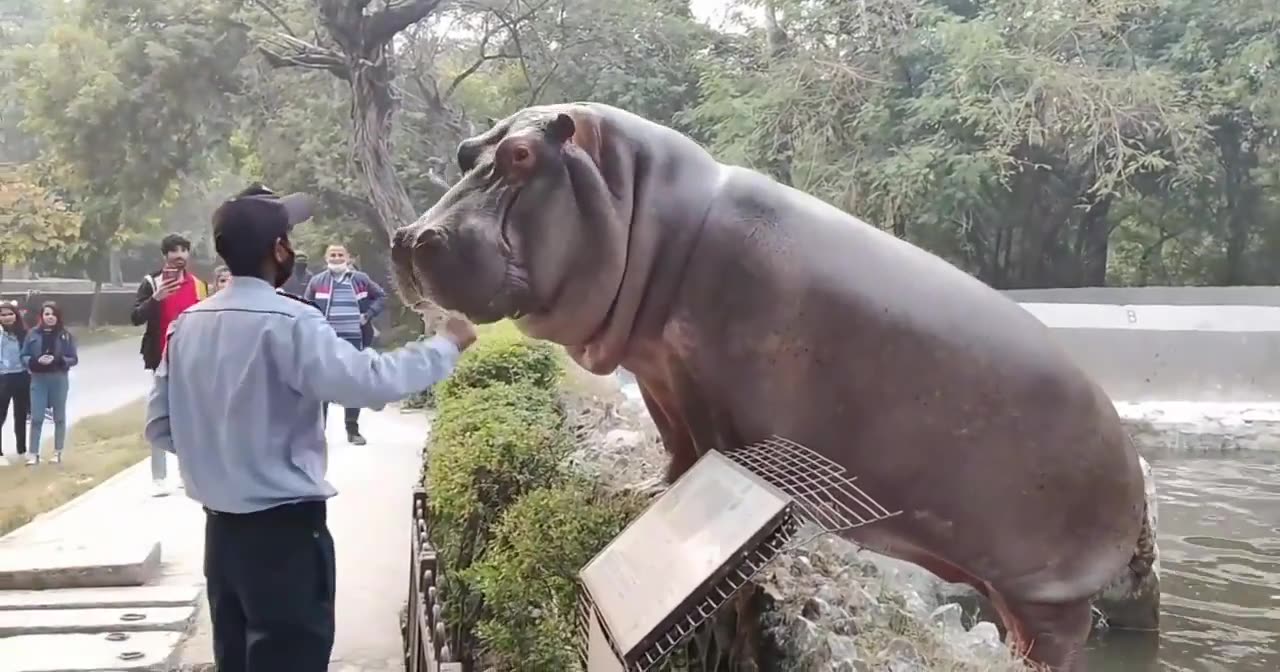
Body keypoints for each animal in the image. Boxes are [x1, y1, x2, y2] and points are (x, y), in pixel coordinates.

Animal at [390, 103, 1152, 671]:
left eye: (522, 157)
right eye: (466, 151)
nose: (408, 237)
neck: (641, 204)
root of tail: (1132, 461)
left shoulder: (709, 384)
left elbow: (708, 453)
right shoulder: (661, 371)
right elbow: (673, 445)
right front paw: (647, 491)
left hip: (1051, 591)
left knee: (1055, 642)